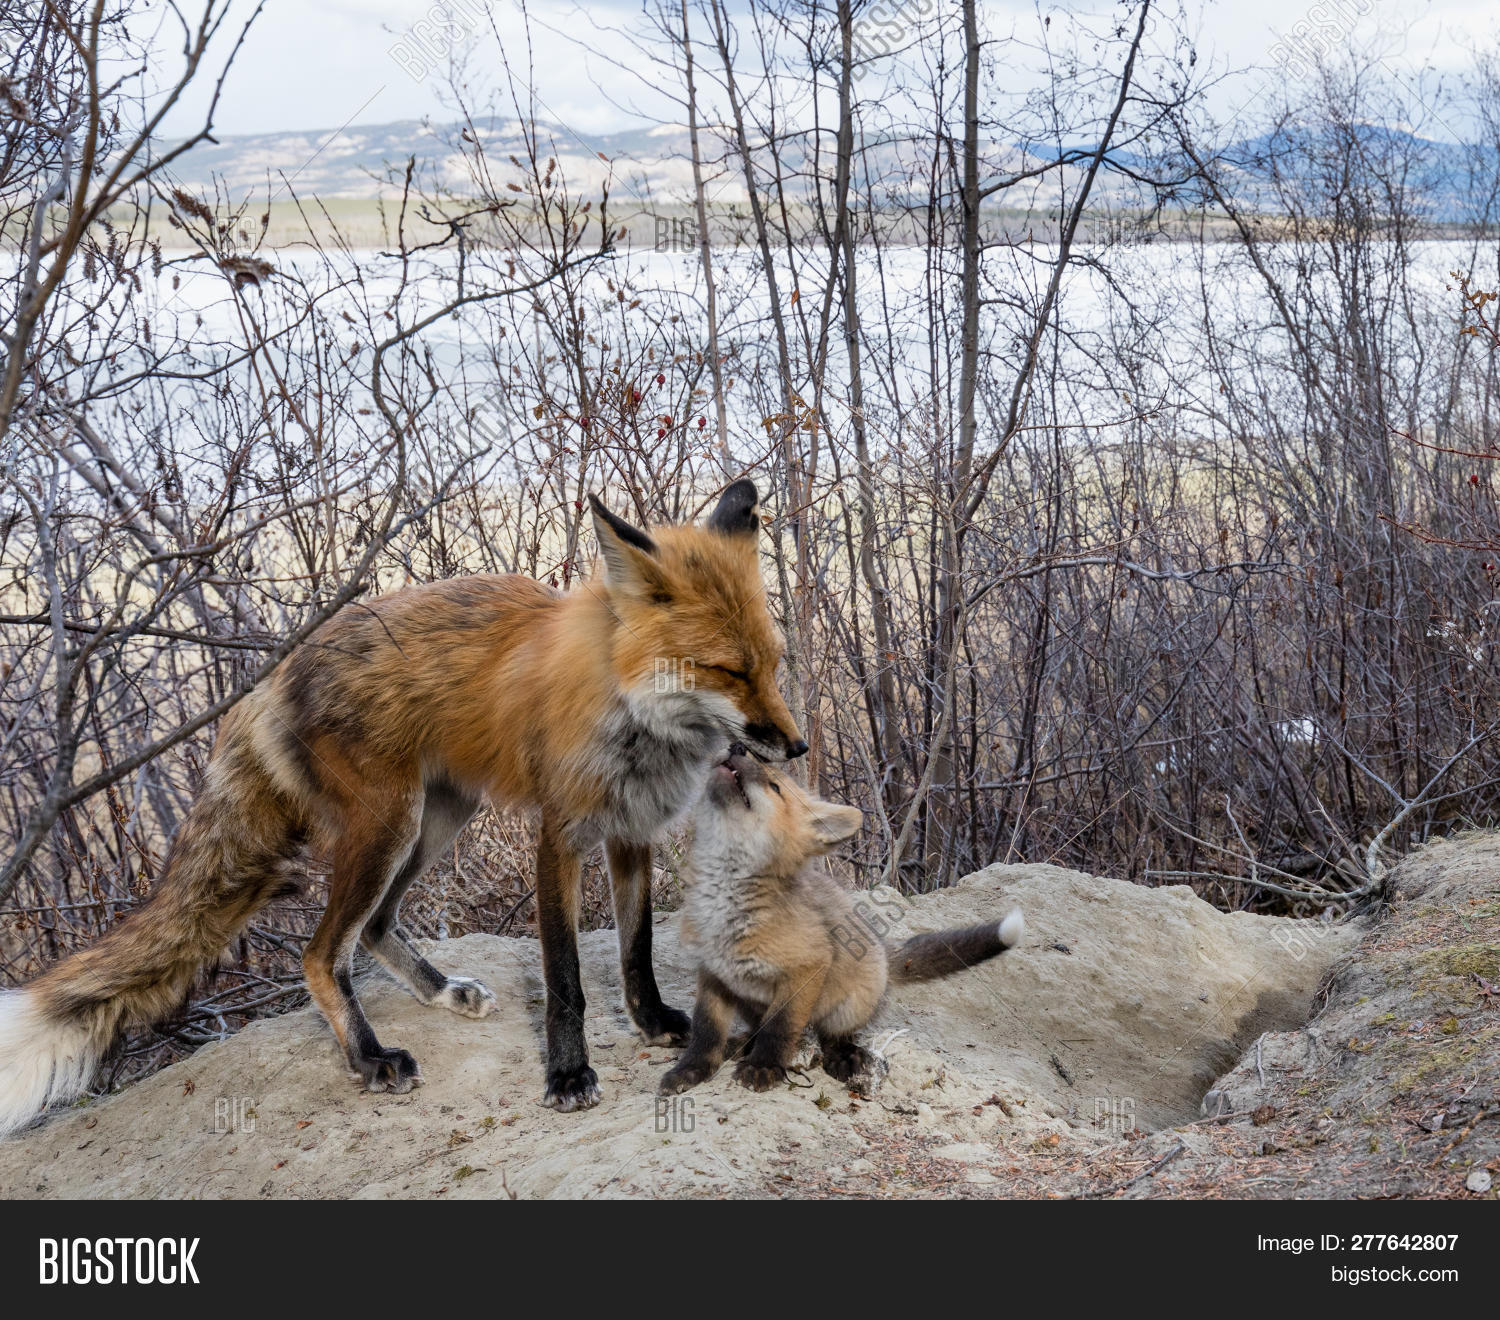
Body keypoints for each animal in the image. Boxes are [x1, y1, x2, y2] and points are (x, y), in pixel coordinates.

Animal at [0, 479, 807, 1135]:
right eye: (728, 671)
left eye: (771, 664)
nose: (798, 747)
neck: (632, 718)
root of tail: (278, 667)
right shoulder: (561, 838)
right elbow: (567, 982)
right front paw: (568, 1073)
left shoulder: (631, 832)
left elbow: (635, 952)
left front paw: (653, 1024)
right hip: (389, 824)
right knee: (322, 953)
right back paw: (368, 1059)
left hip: (437, 818)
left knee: (377, 926)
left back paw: (441, 992)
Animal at [660, 746, 1024, 1096]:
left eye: (775, 787)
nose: (736, 746)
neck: (724, 903)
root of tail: (883, 949)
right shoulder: (713, 973)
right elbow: (706, 1032)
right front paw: (691, 1070)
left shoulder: (807, 969)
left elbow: (780, 1029)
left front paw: (764, 1066)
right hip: (749, 1000)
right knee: (754, 1029)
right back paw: (741, 1044)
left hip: (846, 1005)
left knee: (833, 1036)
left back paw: (841, 1056)